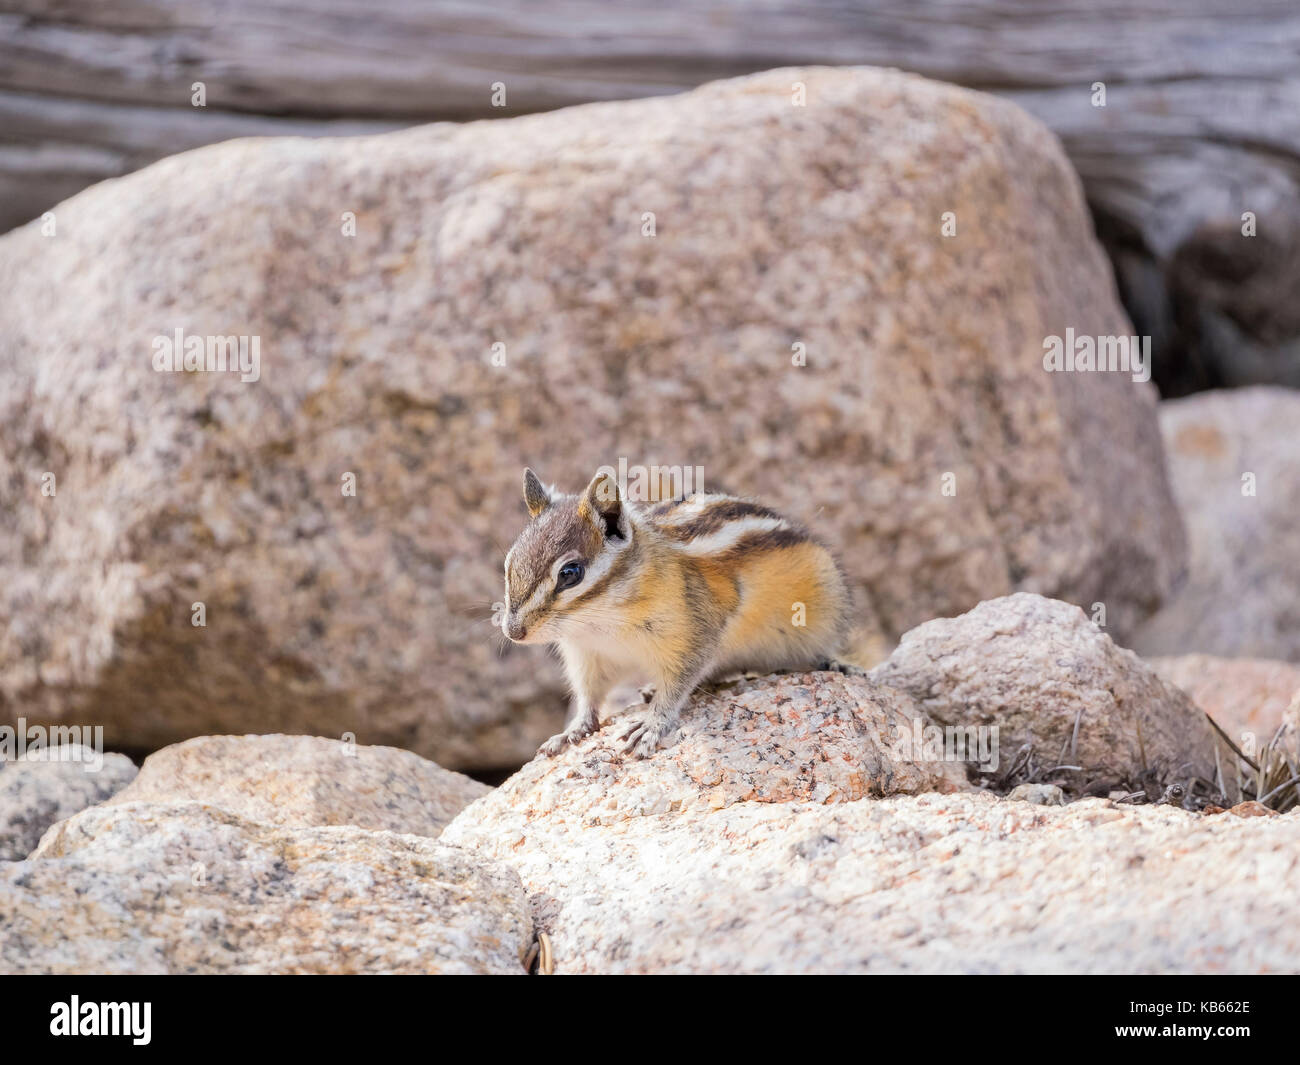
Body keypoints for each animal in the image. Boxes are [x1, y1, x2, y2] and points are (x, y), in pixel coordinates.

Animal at [501, 467, 852, 758]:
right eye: (508, 562)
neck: (599, 621)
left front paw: (651, 725)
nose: (513, 631)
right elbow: (589, 696)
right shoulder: (588, 655)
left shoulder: (694, 635)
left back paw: (835, 663)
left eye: (570, 573)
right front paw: (572, 729)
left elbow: (677, 686)